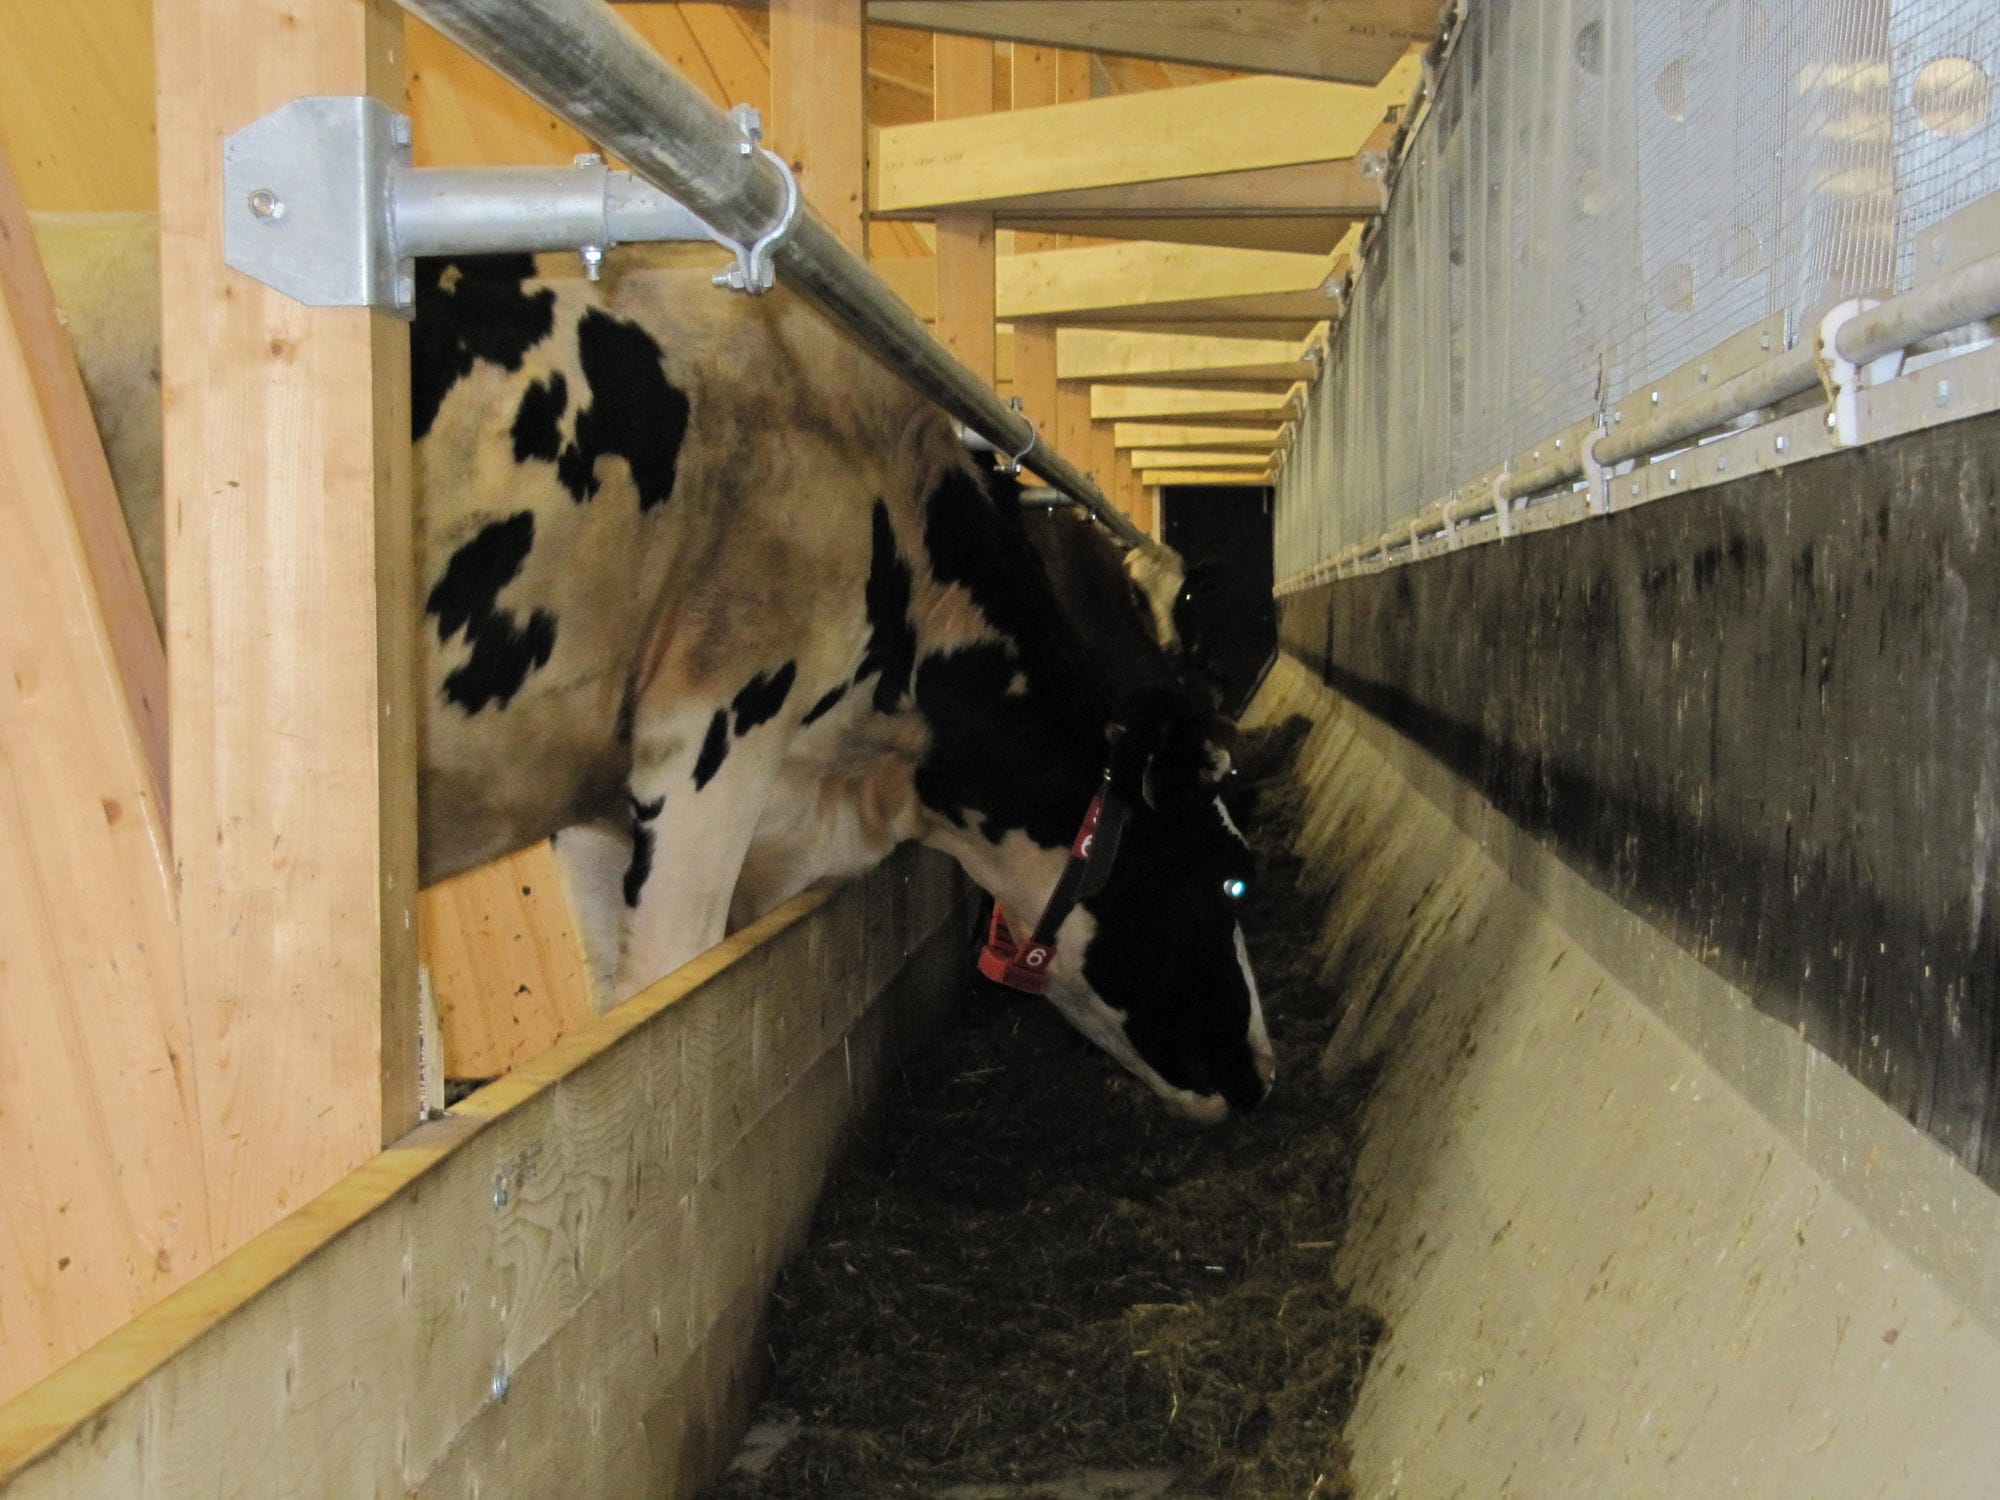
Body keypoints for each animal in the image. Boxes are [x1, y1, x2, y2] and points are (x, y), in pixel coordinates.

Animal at [35, 220, 1274, 1120]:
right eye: (1228, 879)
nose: (1261, 1076)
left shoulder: (593, 803)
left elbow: (608, 997)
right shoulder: (712, 738)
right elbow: (669, 988)